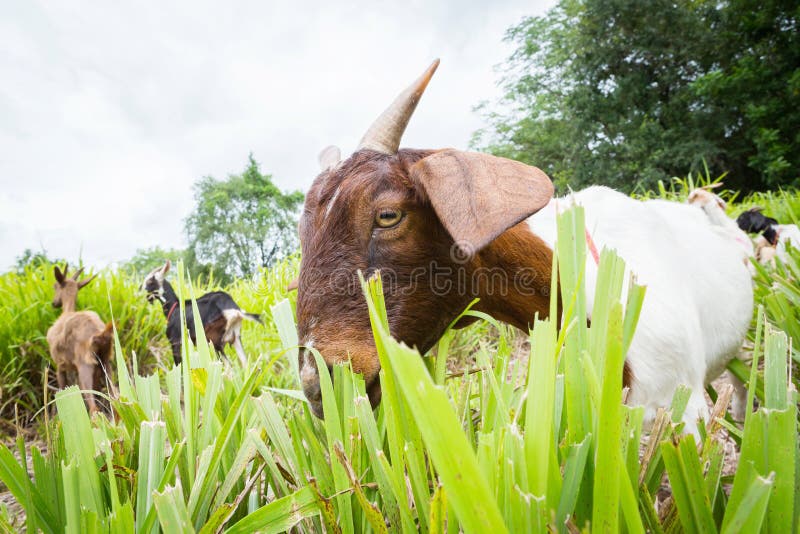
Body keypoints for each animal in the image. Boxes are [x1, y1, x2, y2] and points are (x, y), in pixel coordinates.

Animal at [46, 264, 114, 414]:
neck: (67, 311)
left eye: (55, 286)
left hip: (85, 366)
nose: (54, 303)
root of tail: (100, 334)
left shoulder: (60, 365)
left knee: (94, 408)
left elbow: (62, 391)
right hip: (105, 364)